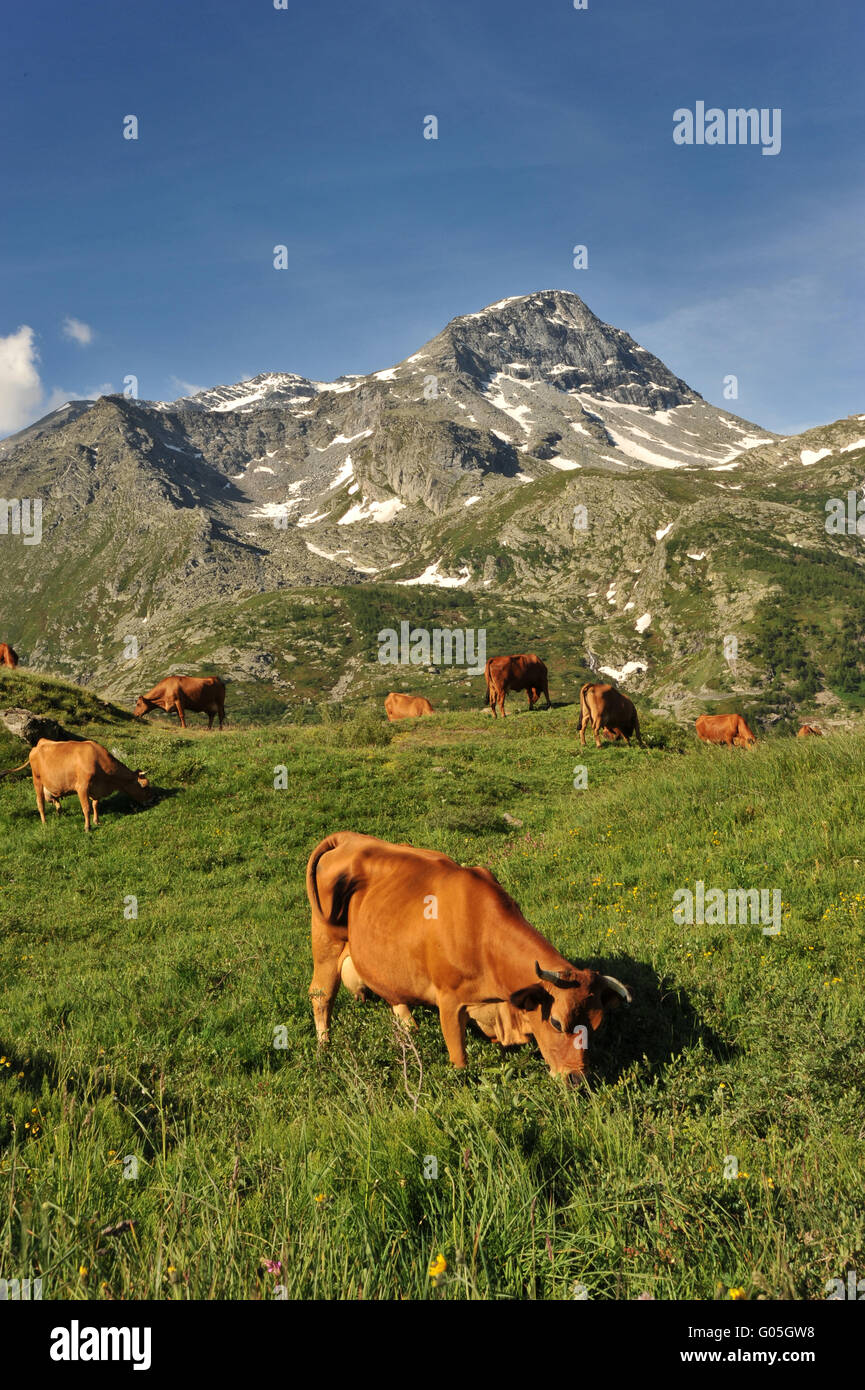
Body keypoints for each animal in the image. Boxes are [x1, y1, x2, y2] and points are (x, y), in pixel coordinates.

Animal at [0, 738, 153, 831]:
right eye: (144, 786)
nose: (152, 800)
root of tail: (38, 745)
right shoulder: (82, 787)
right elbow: (86, 808)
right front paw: (87, 827)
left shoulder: (96, 788)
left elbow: (95, 805)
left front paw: (97, 821)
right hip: (37, 780)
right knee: (40, 803)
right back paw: (44, 822)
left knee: (55, 801)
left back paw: (59, 813)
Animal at [306, 831, 632, 1076]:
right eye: (556, 1022)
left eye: (596, 1025)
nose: (577, 1079)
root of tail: (348, 838)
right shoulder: (449, 1001)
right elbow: (459, 1059)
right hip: (326, 942)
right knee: (321, 994)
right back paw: (324, 1048)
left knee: (391, 993)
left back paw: (411, 1030)